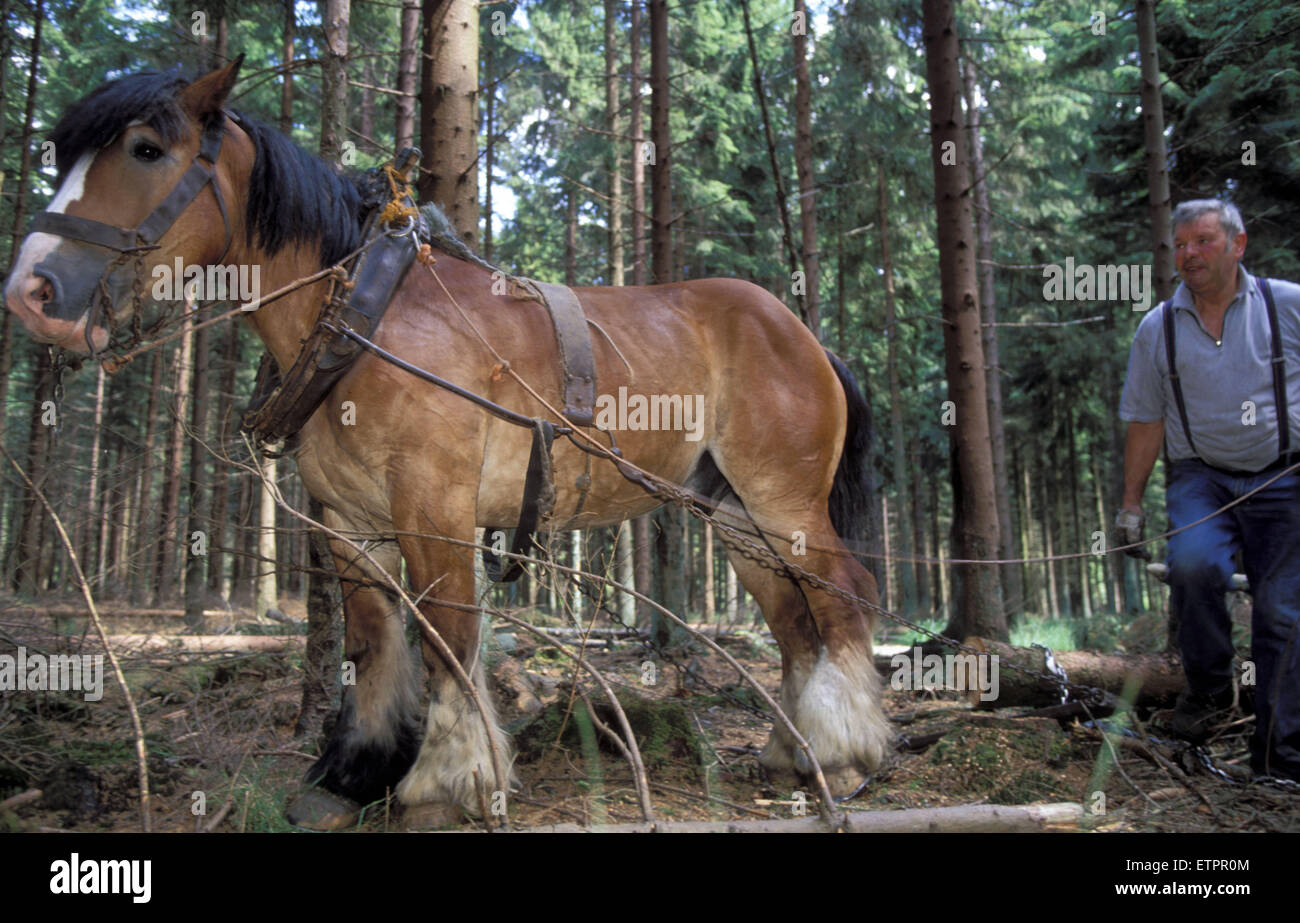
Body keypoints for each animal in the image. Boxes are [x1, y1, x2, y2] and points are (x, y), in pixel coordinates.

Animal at [4, 59, 894, 827]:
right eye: (65, 152)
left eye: (146, 149)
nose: (31, 292)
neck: (364, 314)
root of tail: (807, 335)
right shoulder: (348, 521)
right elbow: (373, 644)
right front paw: (352, 772)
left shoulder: (434, 505)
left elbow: (448, 639)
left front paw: (449, 781)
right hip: (730, 510)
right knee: (794, 618)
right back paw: (794, 753)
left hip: (784, 500)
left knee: (842, 595)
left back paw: (847, 751)